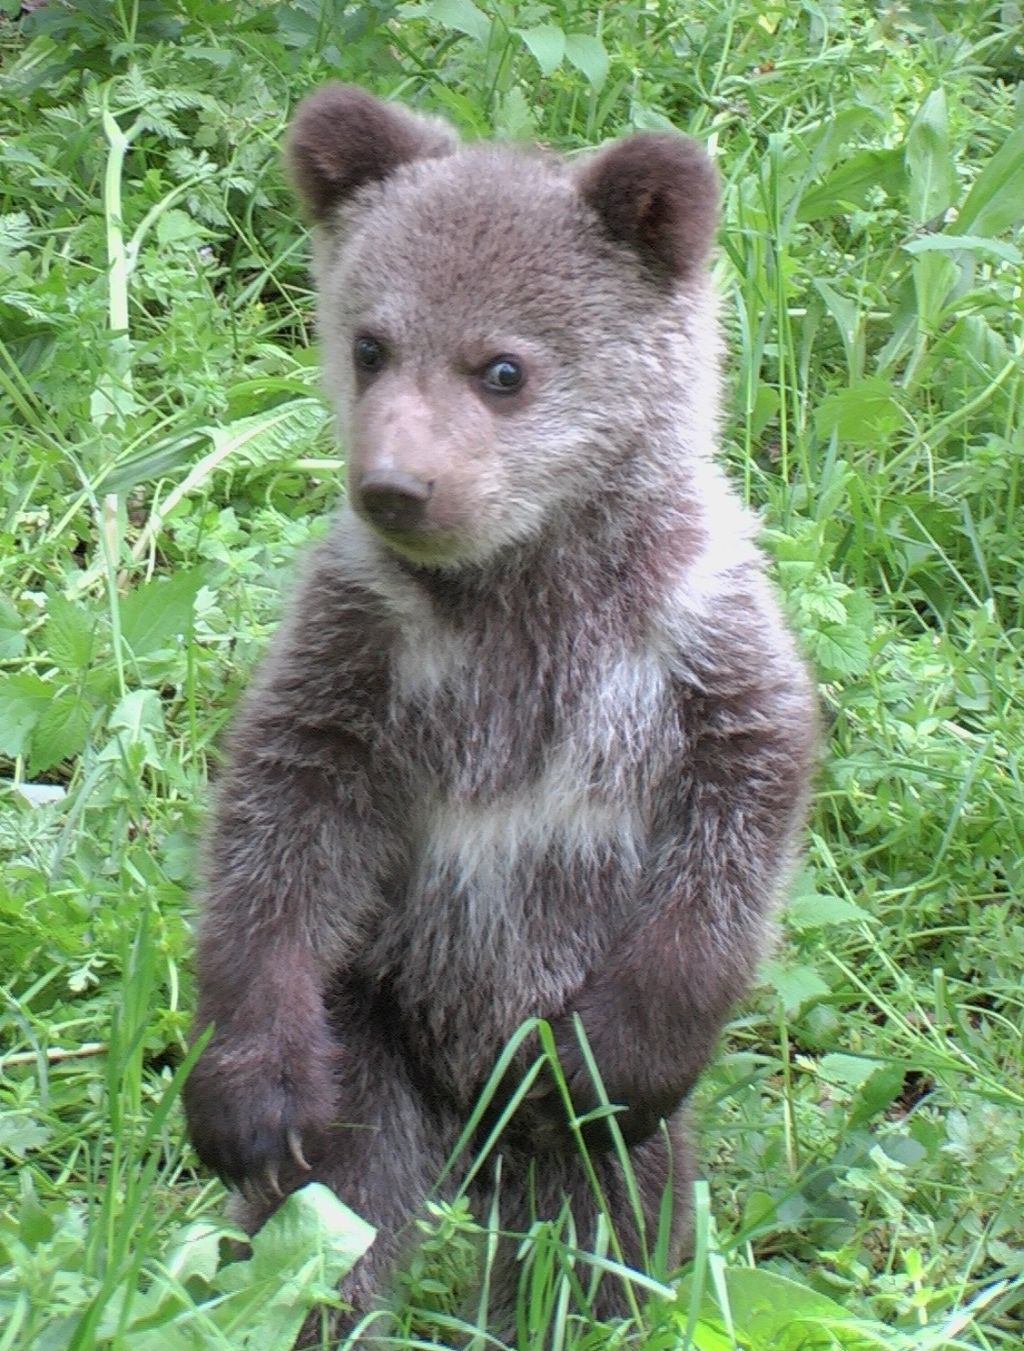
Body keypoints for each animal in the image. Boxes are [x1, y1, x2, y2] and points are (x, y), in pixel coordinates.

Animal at [182, 83, 817, 1337]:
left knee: (600, 1222)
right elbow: (278, 827)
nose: (396, 485)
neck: (526, 592)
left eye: (504, 367)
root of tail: (466, 1137)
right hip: (375, 1016)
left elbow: (736, 829)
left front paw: (599, 1059)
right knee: (346, 1206)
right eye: (369, 342)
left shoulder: (687, 645)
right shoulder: (366, 652)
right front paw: (247, 1097)